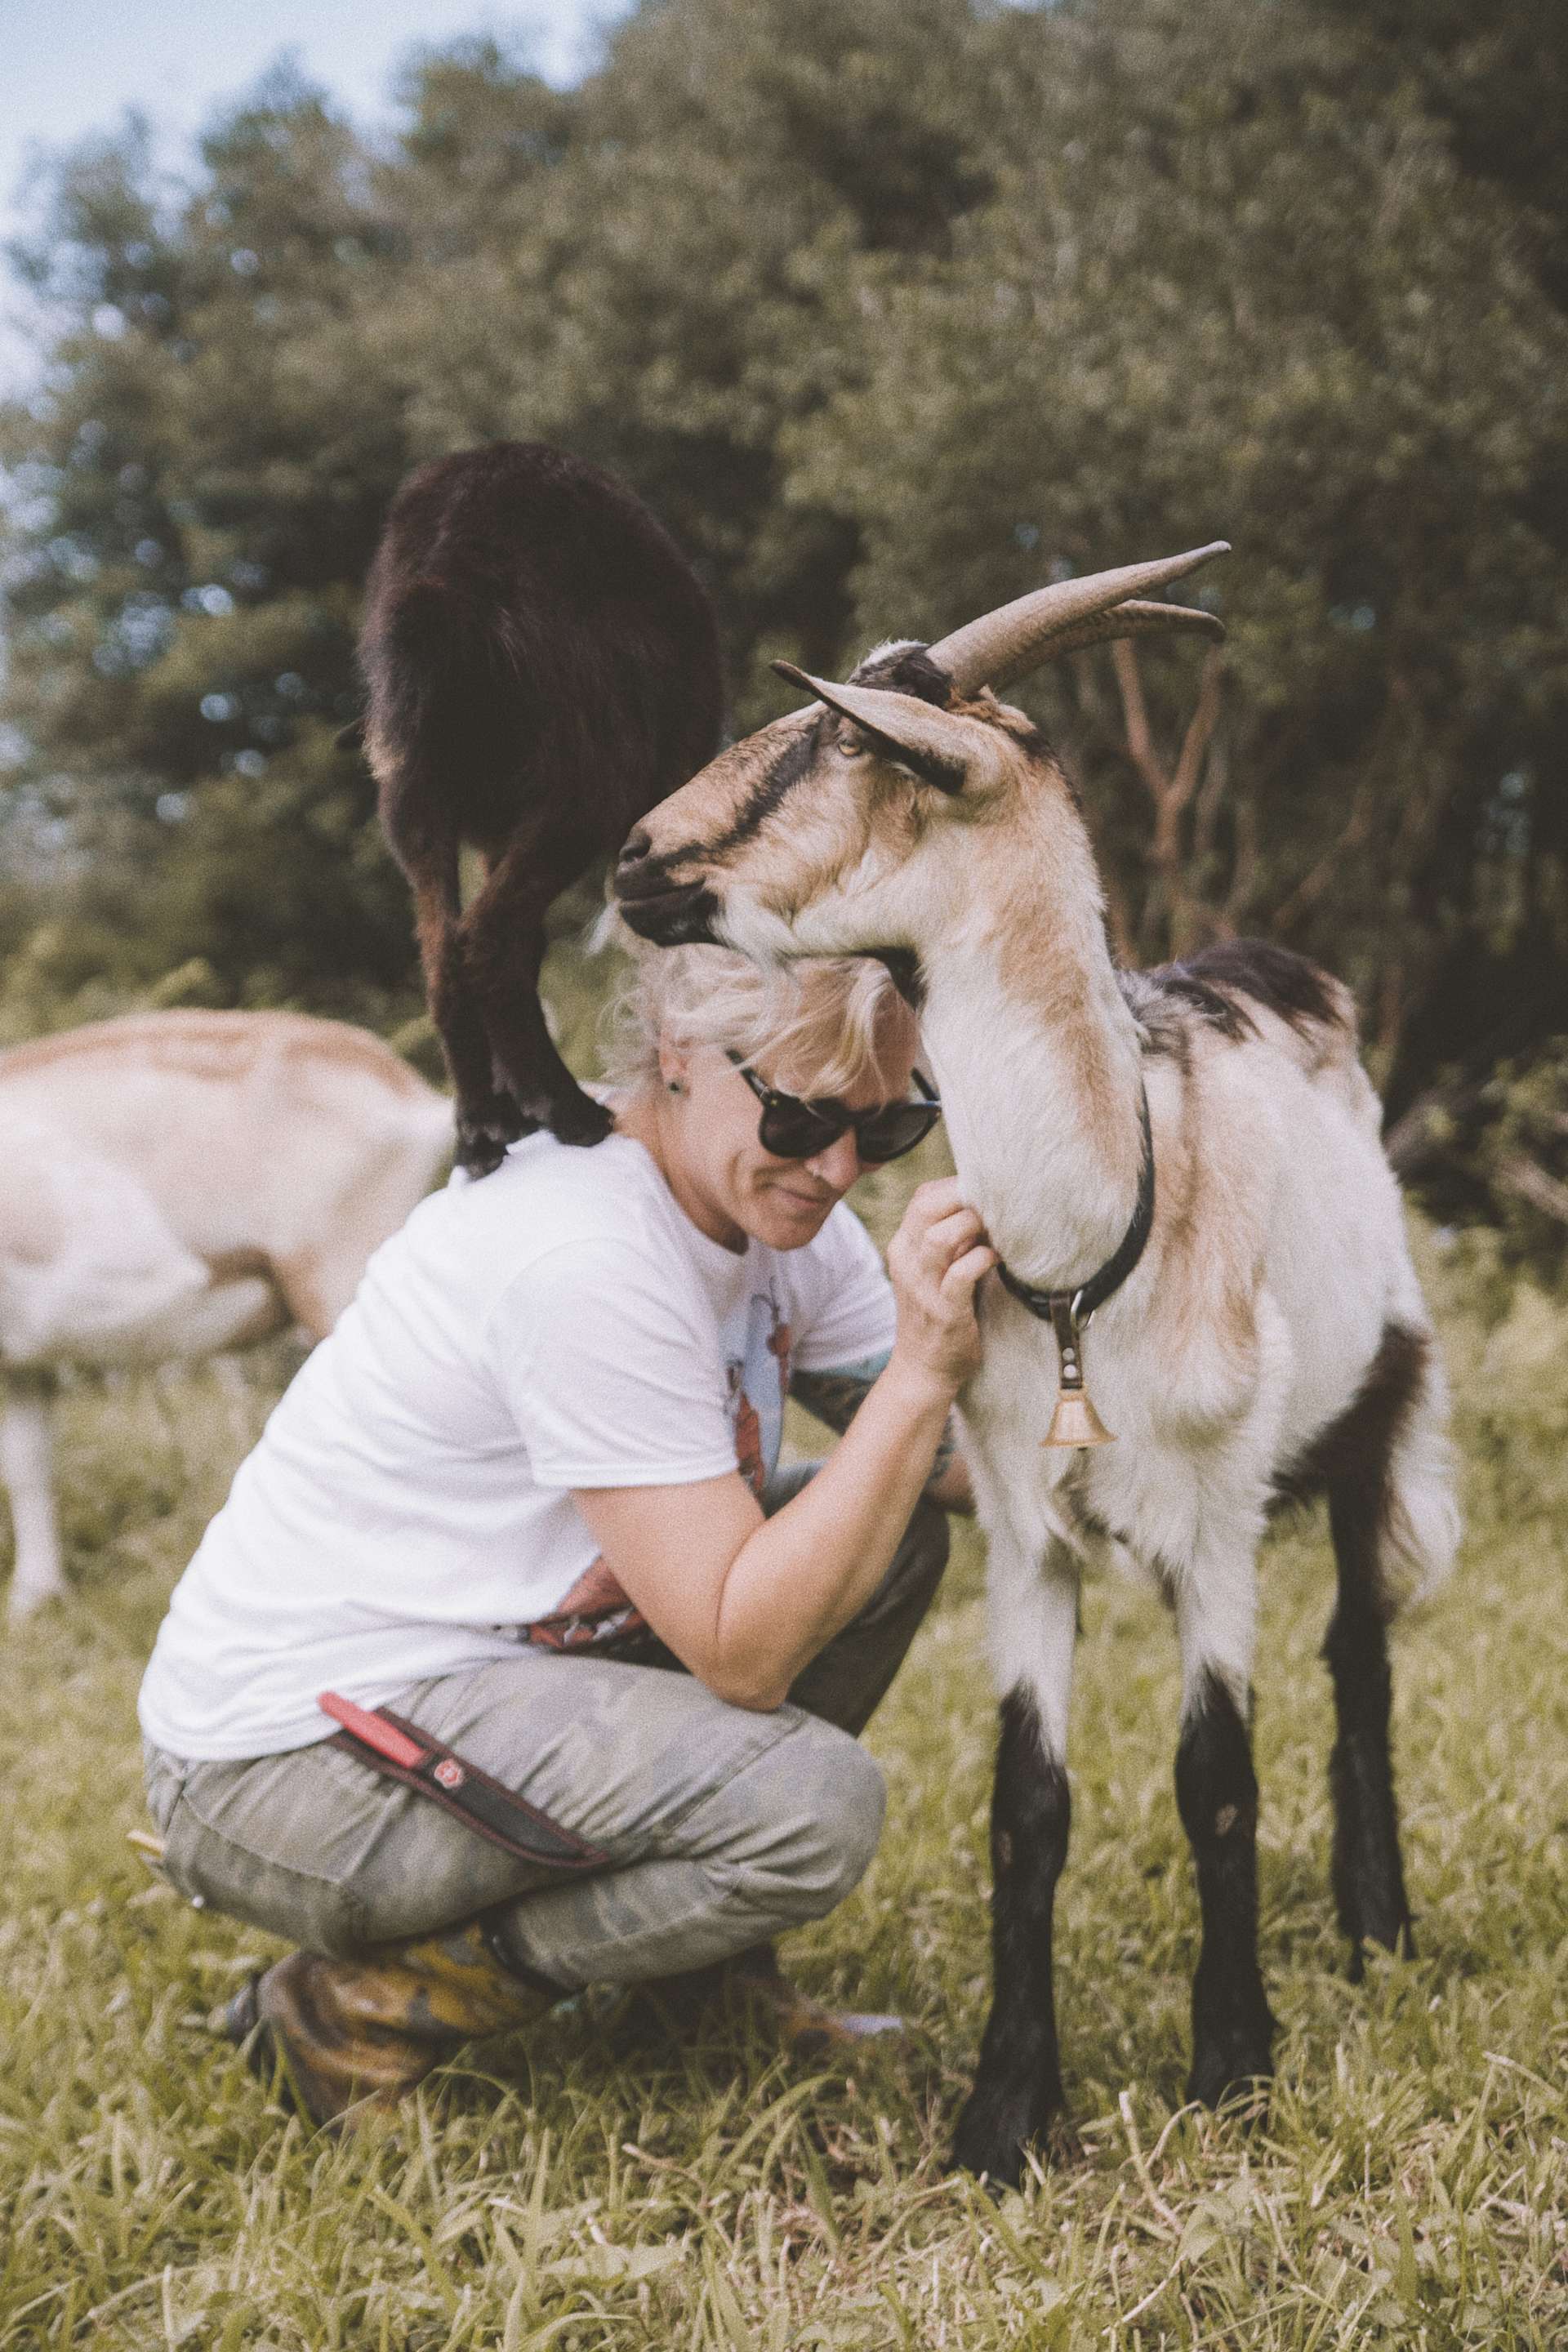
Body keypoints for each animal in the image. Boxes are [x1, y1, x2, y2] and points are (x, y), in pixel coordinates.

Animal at [357, 440, 724, 1174]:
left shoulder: (495, 832)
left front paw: (512, 1110)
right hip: (584, 788)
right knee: (487, 942)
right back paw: (571, 1113)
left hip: (417, 807)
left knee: (444, 954)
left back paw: (479, 1131)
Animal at [613, 548, 1461, 2189]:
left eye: (837, 736)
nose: (632, 857)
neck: (1088, 1260)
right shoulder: (1022, 1533)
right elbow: (1027, 1805)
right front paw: (1005, 2113)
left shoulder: (1216, 1522)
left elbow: (1217, 1784)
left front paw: (1234, 2067)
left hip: (1374, 1403)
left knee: (1360, 1658)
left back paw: (1378, 1924)